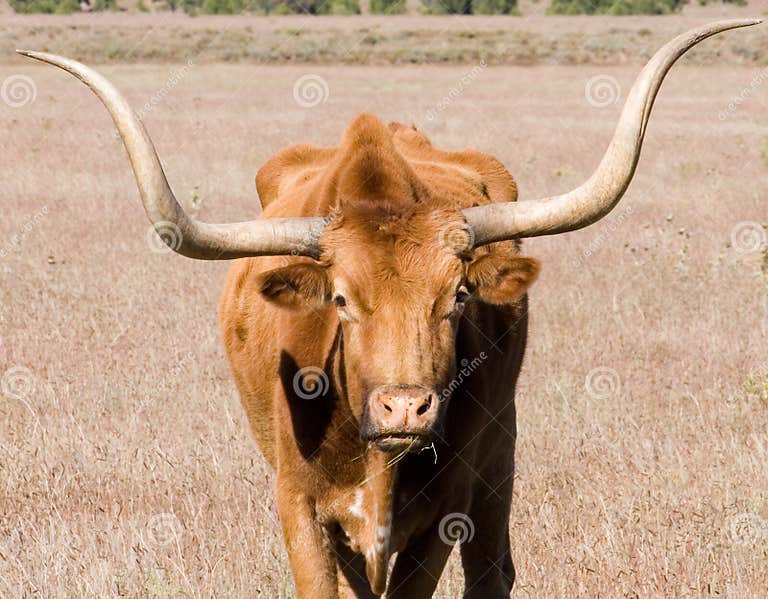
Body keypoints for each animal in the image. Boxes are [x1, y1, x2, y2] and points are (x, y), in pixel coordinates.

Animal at [20, 18, 760, 598]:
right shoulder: (299, 507)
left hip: (500, 459)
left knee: (491, 572)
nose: (406, 408)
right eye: (342, 300)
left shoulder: (444, 514)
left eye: (457, 296)